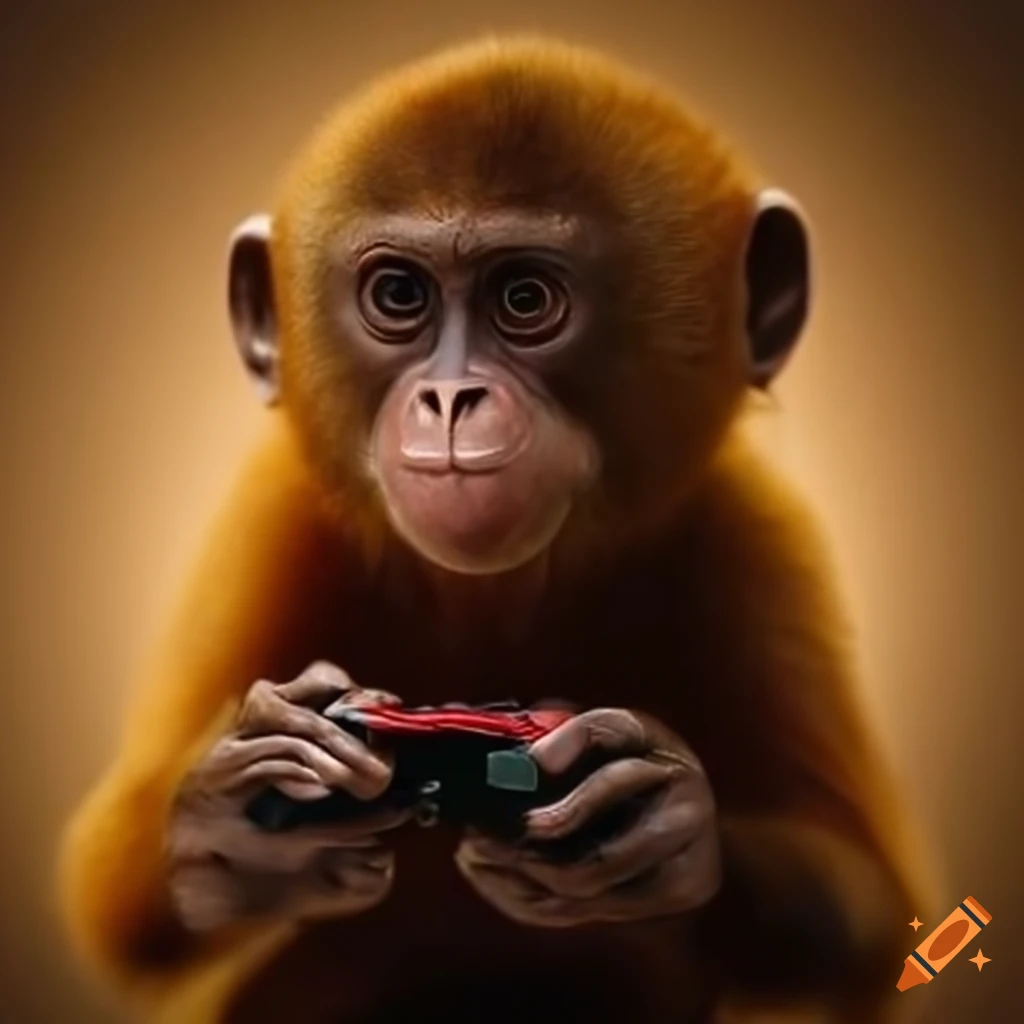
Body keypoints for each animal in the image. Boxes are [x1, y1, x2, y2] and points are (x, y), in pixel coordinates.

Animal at [58, 36, 921, 1024]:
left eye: (525, 300)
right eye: (400, 294)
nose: (450, 399)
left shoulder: (752, 534)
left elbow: (867, 909)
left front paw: (662, 830)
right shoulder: (275, 522)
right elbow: (119, 898)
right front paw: (236, 825)